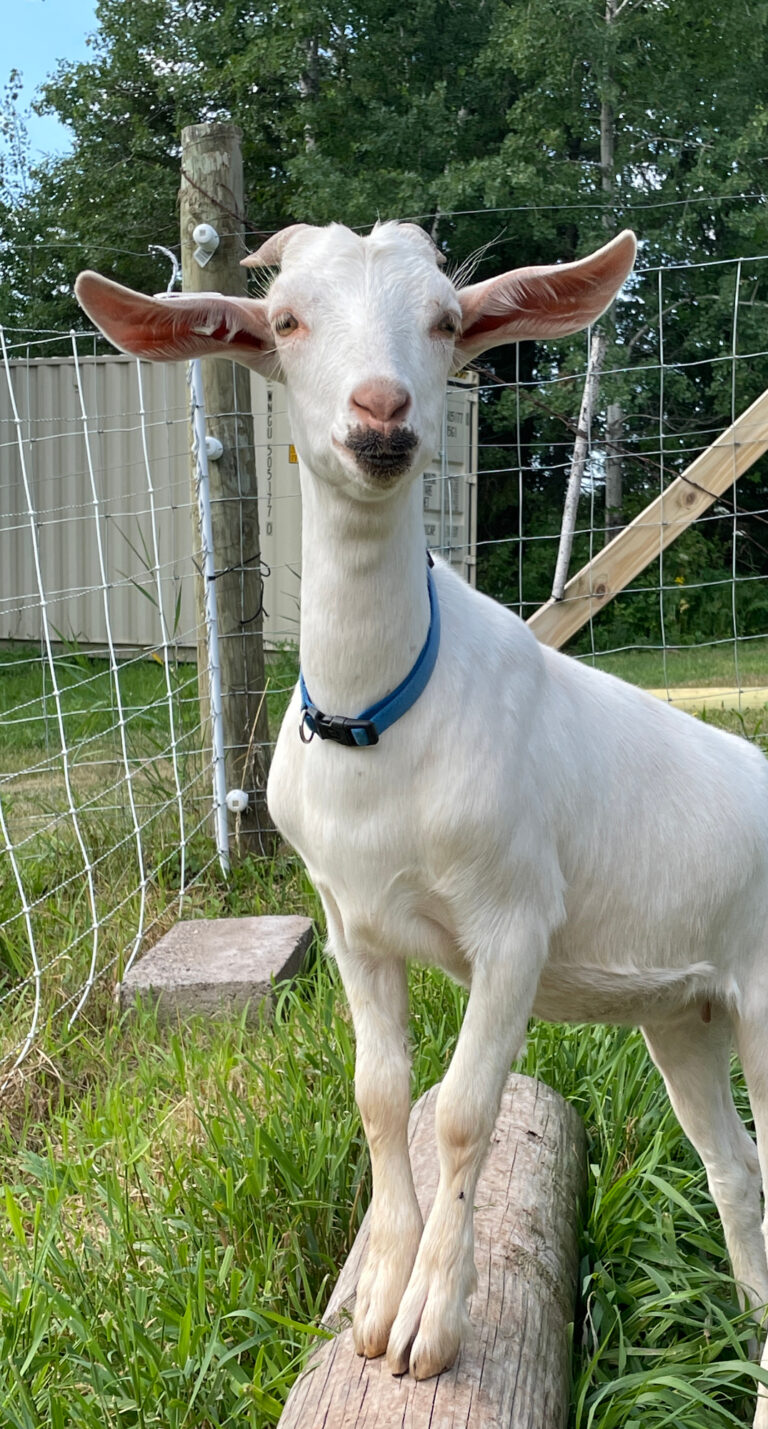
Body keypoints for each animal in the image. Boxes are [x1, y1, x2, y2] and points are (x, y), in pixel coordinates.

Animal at [76, 222, 768, 1422]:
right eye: (287, 320)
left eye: (446, 320)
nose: (381, 412)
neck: (381, 720)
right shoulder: (350, 922)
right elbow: (381, 1094)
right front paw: (376, 1300)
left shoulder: (515, 922)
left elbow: (462, 1114)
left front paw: (429, 1327)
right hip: (688, 1013)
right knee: (737, 1175)